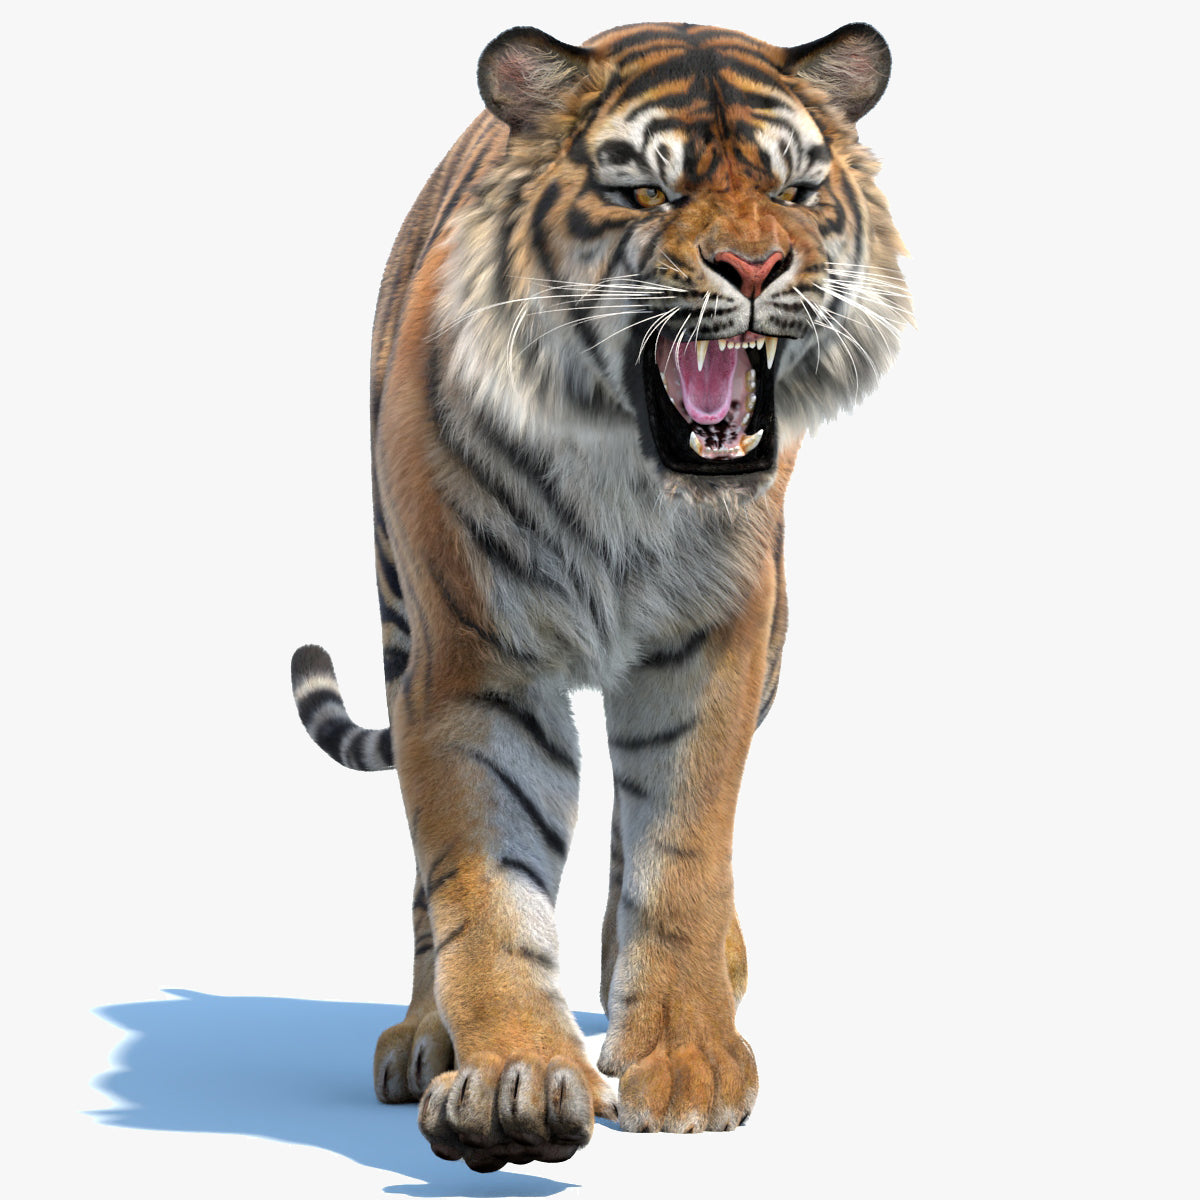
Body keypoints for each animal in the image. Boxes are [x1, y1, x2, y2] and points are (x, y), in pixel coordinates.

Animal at [290, 21, 909, 1171]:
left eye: (795, 189)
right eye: (647, 194)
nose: (754, 266)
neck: (623, 472)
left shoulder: (714, 647)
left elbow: (678, 857)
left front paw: (686, 1060)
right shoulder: (470, 662)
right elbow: (485, 885)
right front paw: (513, 1080)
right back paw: (423, 1033)